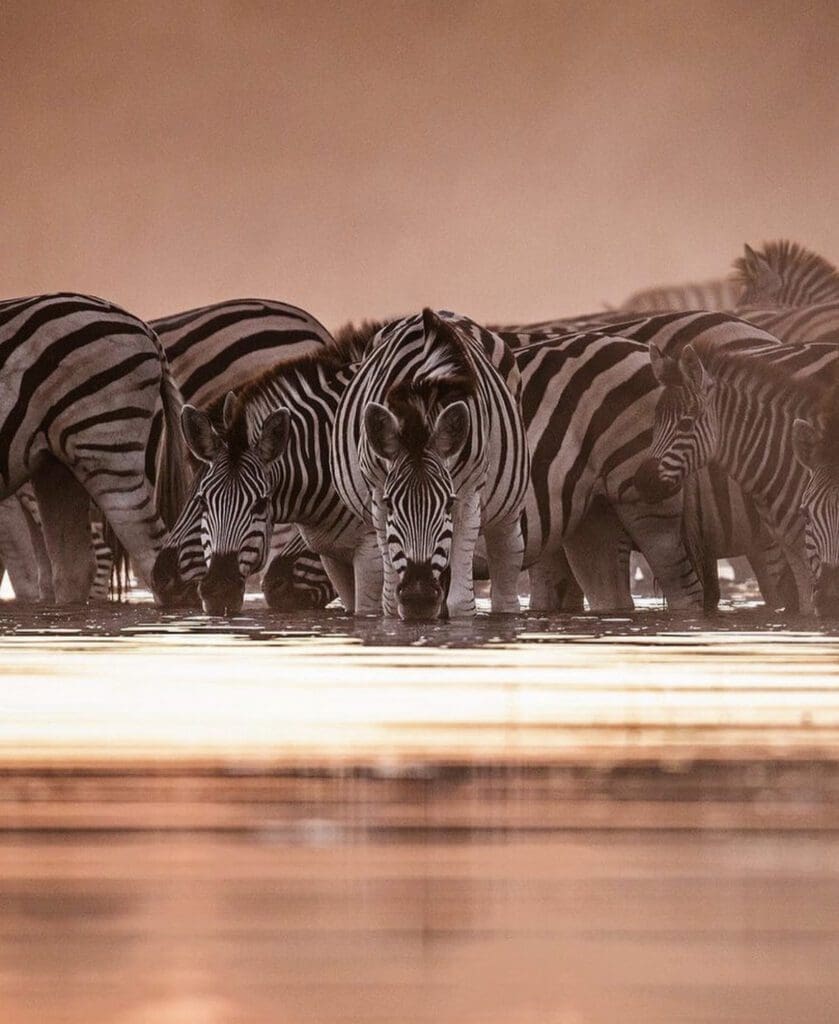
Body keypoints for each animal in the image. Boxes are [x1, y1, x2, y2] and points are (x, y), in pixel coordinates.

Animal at [332, 309, 529, 619]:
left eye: (448, 502)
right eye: (390, 503)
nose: (419, 597)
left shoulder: (468, 495)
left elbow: (462, 603)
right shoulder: (377, 495)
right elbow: (390, 604)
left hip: (508, 513)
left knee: (506, 579)